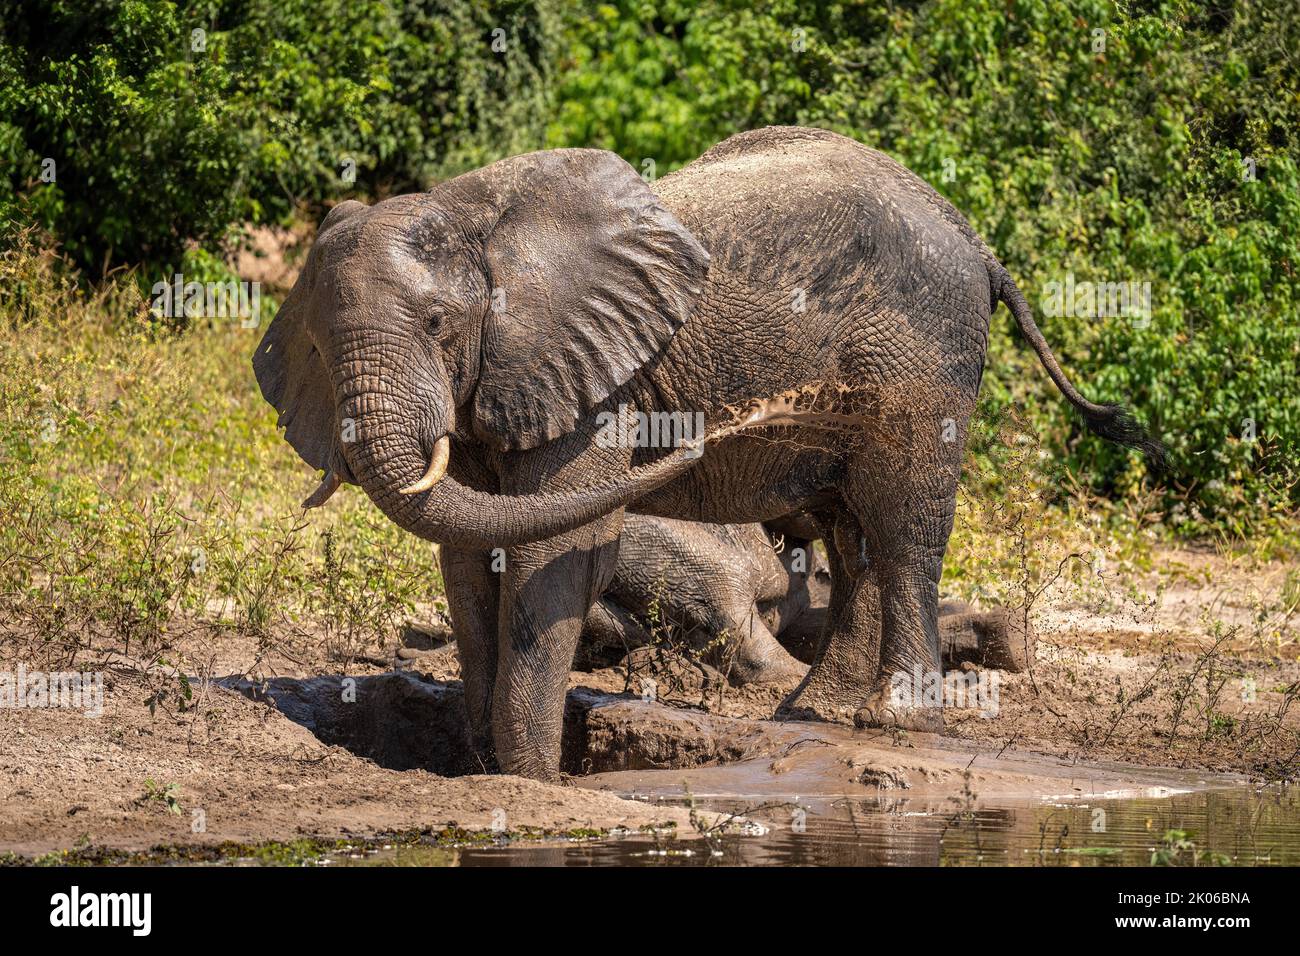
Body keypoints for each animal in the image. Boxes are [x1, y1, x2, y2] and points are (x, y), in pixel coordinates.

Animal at [253, 126, 1158, 780]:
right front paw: (479, 769)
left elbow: (557, 547)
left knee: (901, 525)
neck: (475, 217)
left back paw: (890, 719)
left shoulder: (586, 372)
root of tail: (978, 244)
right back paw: (814, 714)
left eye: (438, 326)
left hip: (925, 358)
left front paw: (528, 777)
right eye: (320, 349)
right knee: (851, 530)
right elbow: (471, 558)